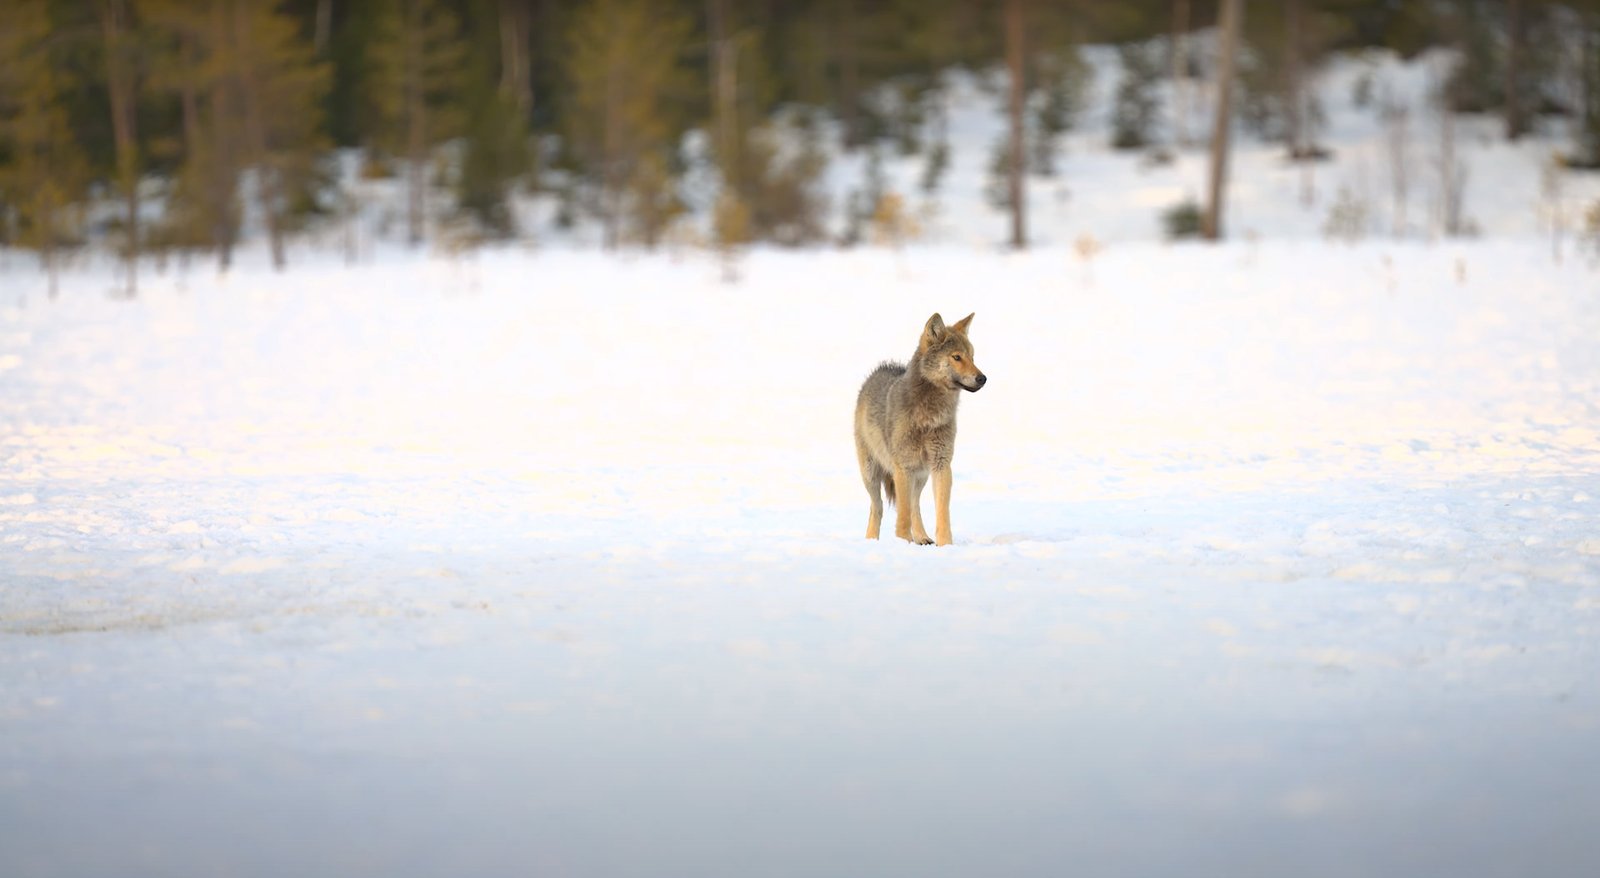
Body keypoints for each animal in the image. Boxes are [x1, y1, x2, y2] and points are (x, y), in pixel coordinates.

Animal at [854, 312, 986, 546]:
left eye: (972, 357)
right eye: (957, 357)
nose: (983, 378)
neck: (928, 416)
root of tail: (879, 370)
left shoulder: (942, 464)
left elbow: (941, 512)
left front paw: (945, 545)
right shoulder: (903, 466)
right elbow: (902, 513)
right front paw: (903, 542)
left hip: (921, 475)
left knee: (915, 504)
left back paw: (922, 537)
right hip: (871, 474)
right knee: (877, 507)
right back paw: (871, 541)